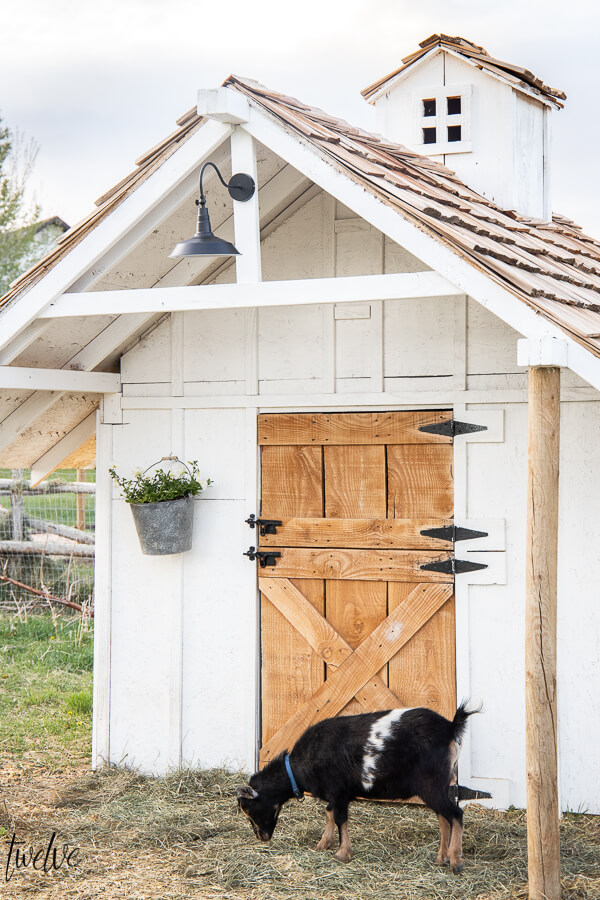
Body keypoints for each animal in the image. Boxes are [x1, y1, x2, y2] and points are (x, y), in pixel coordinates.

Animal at [237, 703, 479, 873]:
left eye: (247, 809)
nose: (261, 836)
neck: (301, 765)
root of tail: (450, 727)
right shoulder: (336, 795)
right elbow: (329, 813)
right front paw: (323, 844)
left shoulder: (338, 792)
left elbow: (339, 818)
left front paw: (342, 854)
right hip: (436, 787)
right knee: (443, 818)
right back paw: (440, 858)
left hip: (431, 785)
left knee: (455, 814)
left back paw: (455, 861)